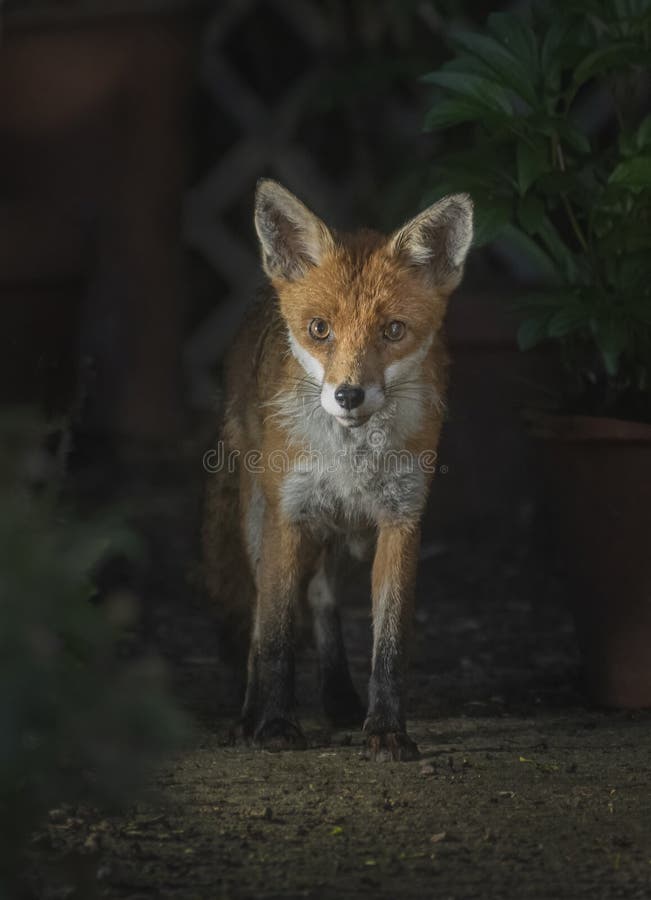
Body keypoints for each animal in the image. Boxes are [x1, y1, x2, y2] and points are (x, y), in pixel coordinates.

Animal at [202, 179, 473, 761]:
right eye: (319, 329)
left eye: (393, 330)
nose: (348, 395)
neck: (351, 457)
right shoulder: (289, 516)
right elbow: (276, 635)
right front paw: (277, 724)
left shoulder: (400, 522)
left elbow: (389, 642)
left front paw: (387, 729)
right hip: (261, 521)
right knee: (260, 617)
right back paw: (248, 715)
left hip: (348, 537)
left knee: (322, 598)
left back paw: (339, 696)